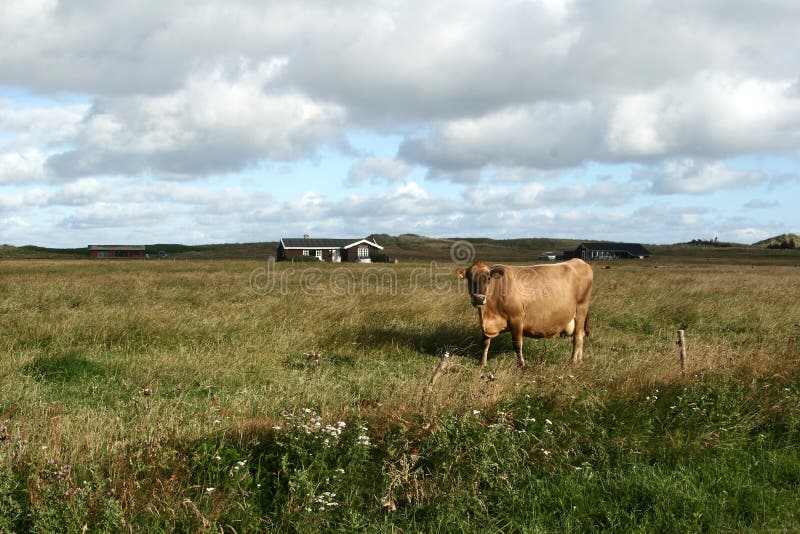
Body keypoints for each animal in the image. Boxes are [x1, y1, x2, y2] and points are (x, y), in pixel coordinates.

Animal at [454, 259, 593, 368]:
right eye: (469, 278)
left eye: (488, 278)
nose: (478, 298)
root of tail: (579, 261)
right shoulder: (485, 324)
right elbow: (485, 343)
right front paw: (482, 363)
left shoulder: (516, 318)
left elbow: (517, 344)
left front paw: (522, 365)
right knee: (581, 336)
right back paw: (579, 360)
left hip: (581, 308)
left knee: (577, 337)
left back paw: (573, 361)